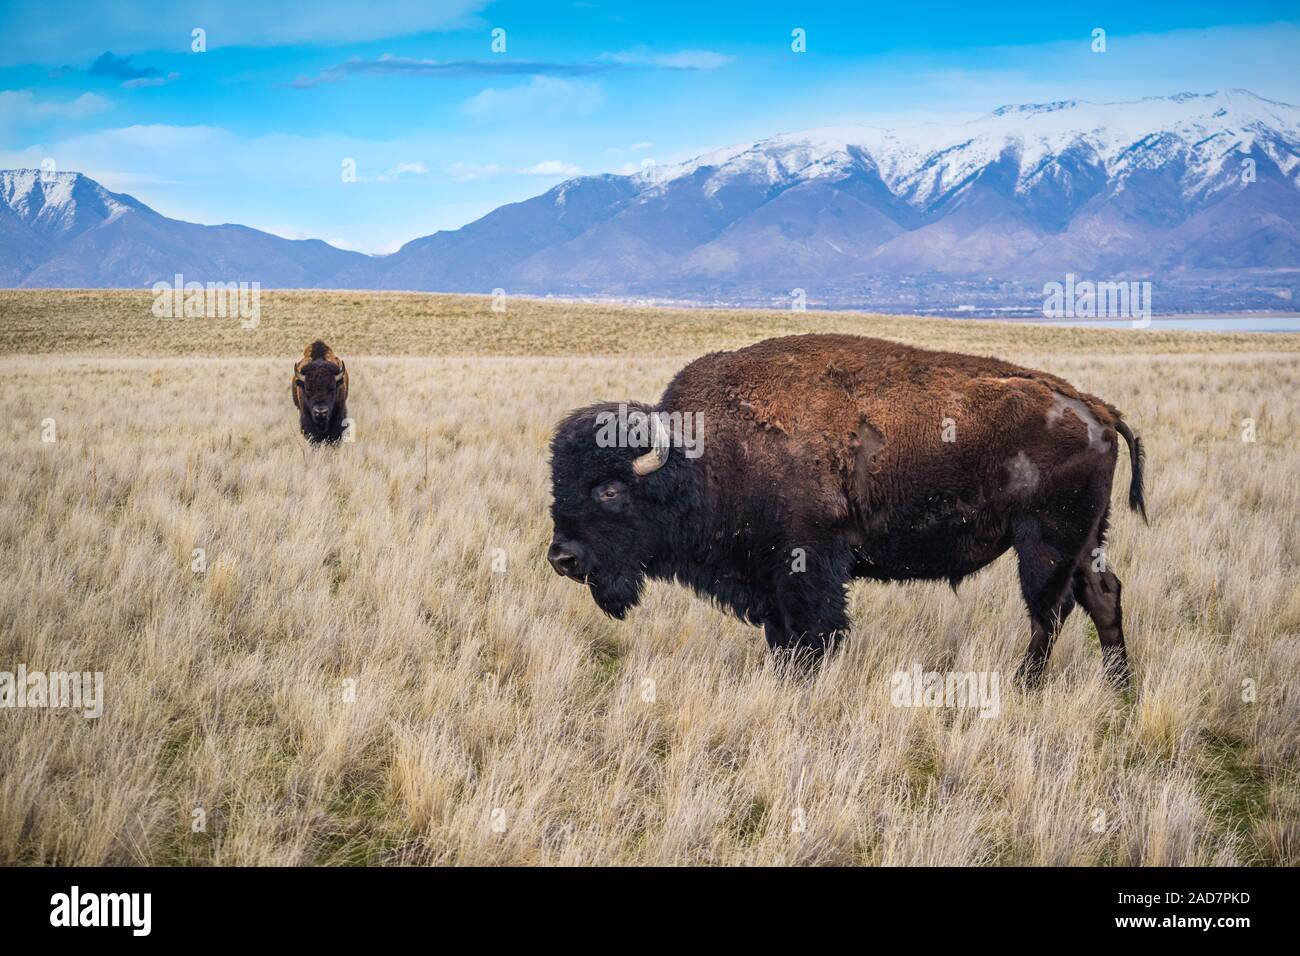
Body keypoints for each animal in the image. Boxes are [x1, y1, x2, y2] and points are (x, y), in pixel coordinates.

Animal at [547, 334, 1146, 687]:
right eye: (559, 485)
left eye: (609, 490)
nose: (562, 558)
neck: (703, 456)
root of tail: (1096, 408)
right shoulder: (770, 582)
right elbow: (782, 638)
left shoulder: (806, 566)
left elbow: (814, 633)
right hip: (1086, 538)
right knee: (1101, 595)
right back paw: (1119, 684)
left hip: (1044, 541)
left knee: (1049, 611)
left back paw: (1026, 685)